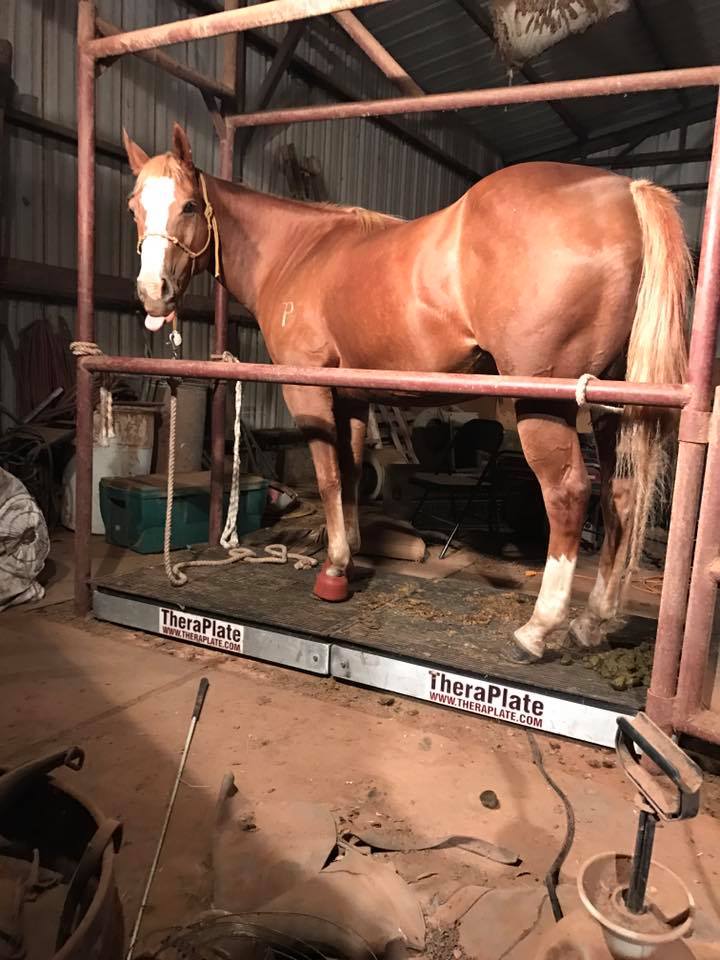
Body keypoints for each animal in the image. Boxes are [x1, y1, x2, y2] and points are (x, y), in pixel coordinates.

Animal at [122, 123, 691, 665]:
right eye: (133, 207)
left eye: (189, 205)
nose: (153, 294)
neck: (298, 253)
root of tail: (624, 192)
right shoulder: (352, 394)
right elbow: (352, 472)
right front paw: (345, 561)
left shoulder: (308, 389)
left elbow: (328, 476)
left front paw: (333, 568)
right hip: (613, 409)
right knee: (620, 494)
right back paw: (593, 622)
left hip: (545, 403)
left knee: (569, 494)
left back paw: (535, 632)